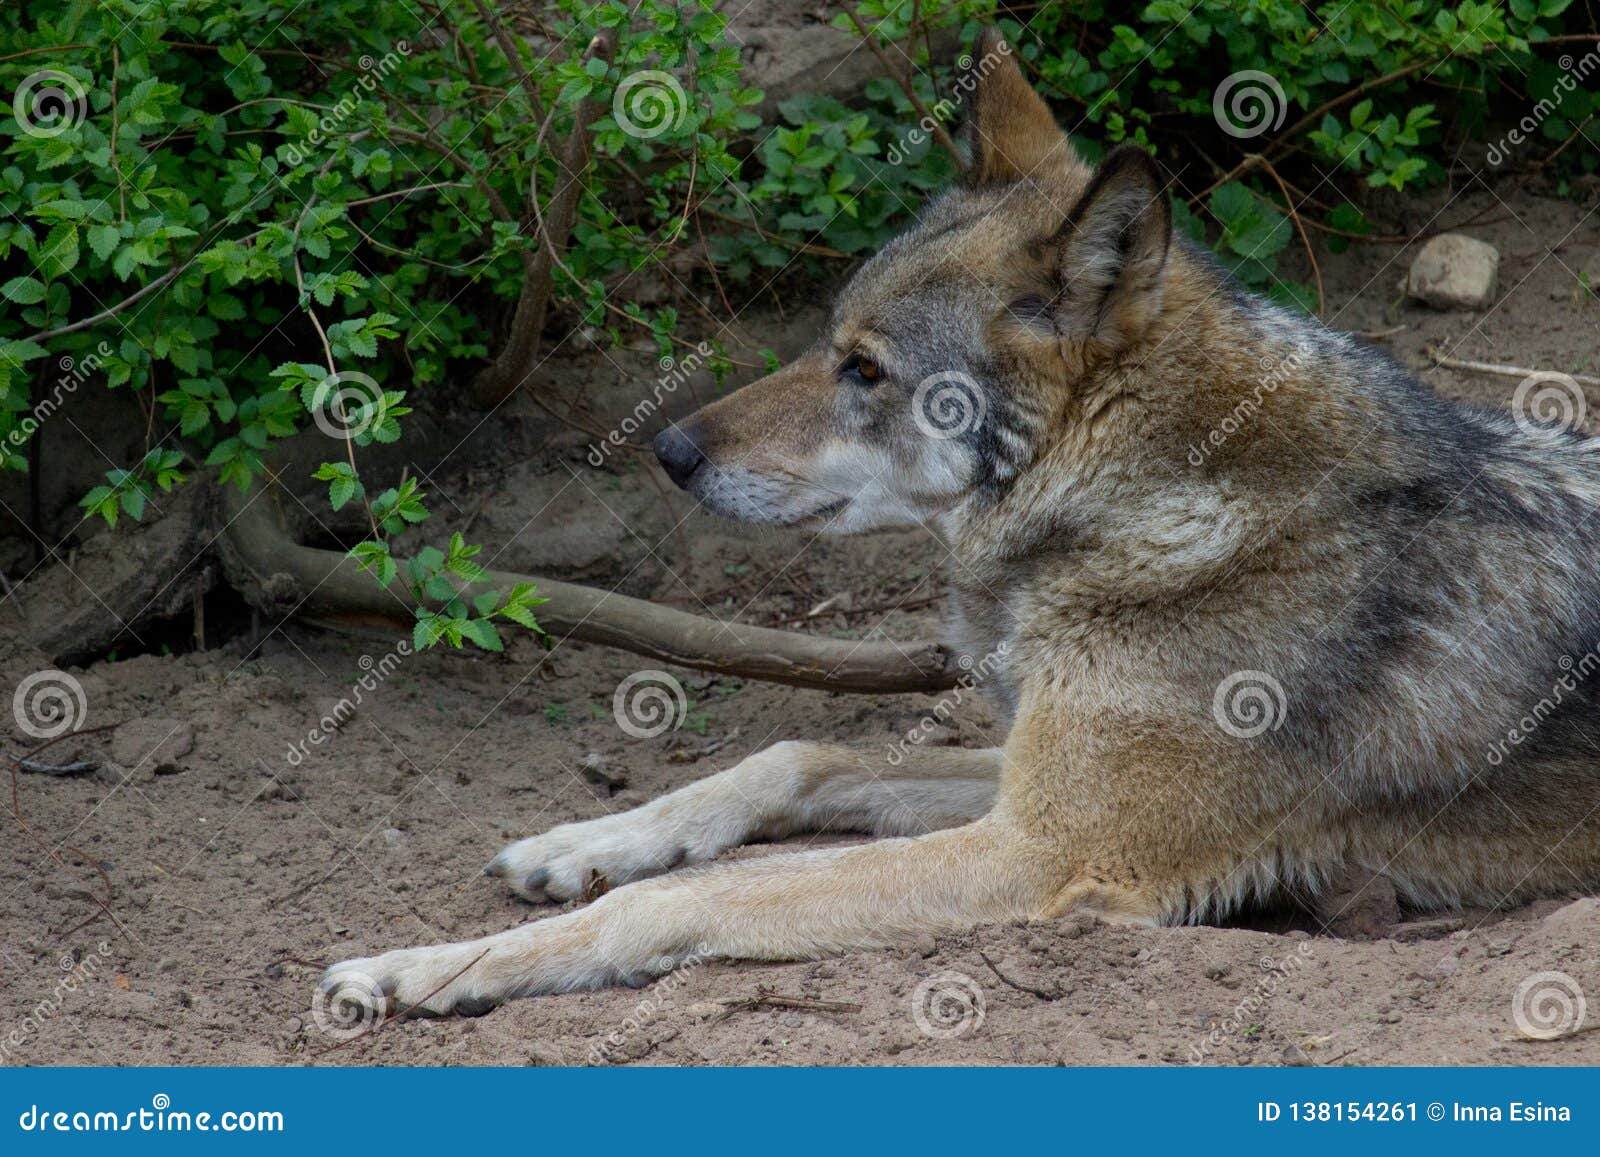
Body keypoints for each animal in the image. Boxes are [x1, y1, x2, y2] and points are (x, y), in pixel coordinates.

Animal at [322, 32, 1600, 1018]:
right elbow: (798, 754)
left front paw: (429, 966)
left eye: (865, 369)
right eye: (825, 339)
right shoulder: (1018, 783)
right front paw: (579, 843)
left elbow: (687, 897)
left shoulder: (1038, 851)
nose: (669, 451)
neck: (1147, 511)